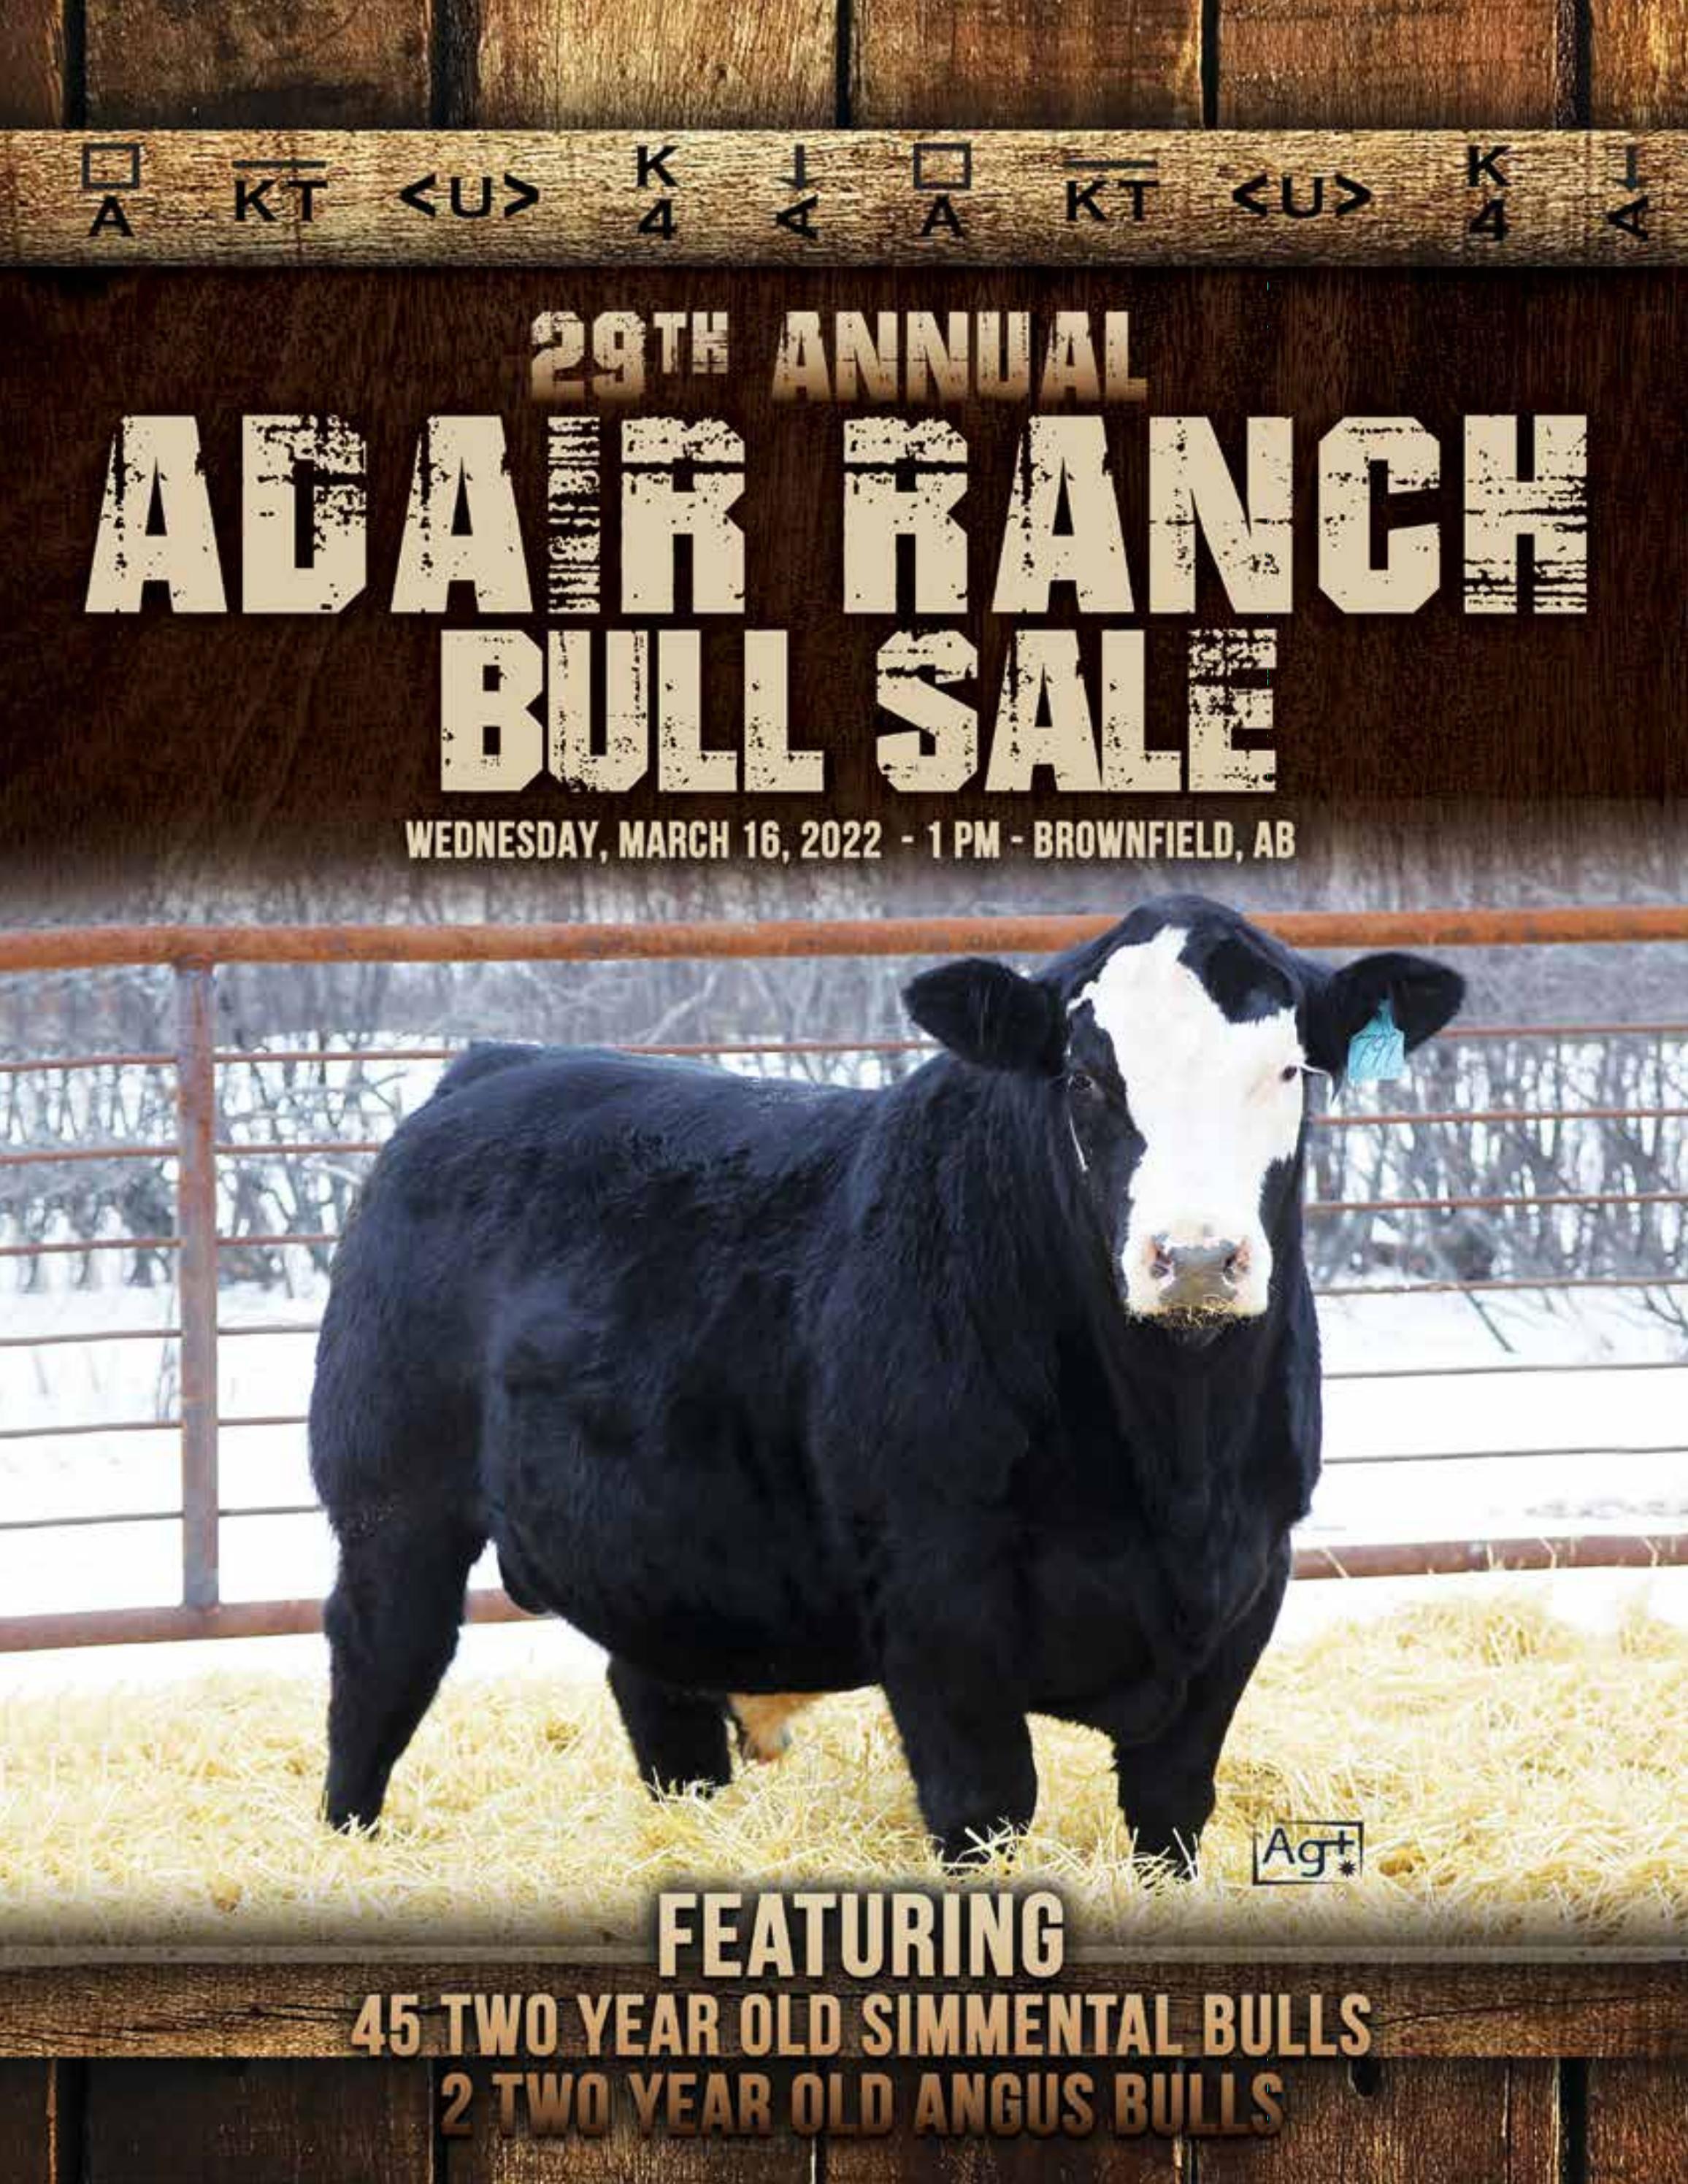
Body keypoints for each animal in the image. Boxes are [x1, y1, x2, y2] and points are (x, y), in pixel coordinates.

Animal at [309, 896, 1464, 1871]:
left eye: (1288, 1072)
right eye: (1088, 1078)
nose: (1193, 1257)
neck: (1175, 1464)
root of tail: (496, 1065)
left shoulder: (1250, 1582)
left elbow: (1172, 1809)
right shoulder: (935, 1597)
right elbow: (985, 1808)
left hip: (647, 1545)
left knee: (658, 1706)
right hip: (391, 1504)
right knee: (378, 1668)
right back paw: (347, 1839)